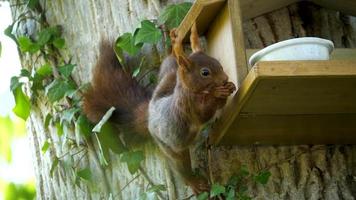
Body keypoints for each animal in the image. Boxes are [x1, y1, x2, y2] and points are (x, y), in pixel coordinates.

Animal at [82, 23, 235, 194]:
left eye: (218, 63)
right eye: (205, 72)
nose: (225, 78)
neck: (193, 91)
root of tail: (150, 114)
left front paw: (229, 87)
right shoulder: (187, 107)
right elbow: (204, 113)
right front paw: (217, 93)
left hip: (167, 78)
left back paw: (173, 44)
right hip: (169, 146)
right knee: (180, 166)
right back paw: (194, 182)